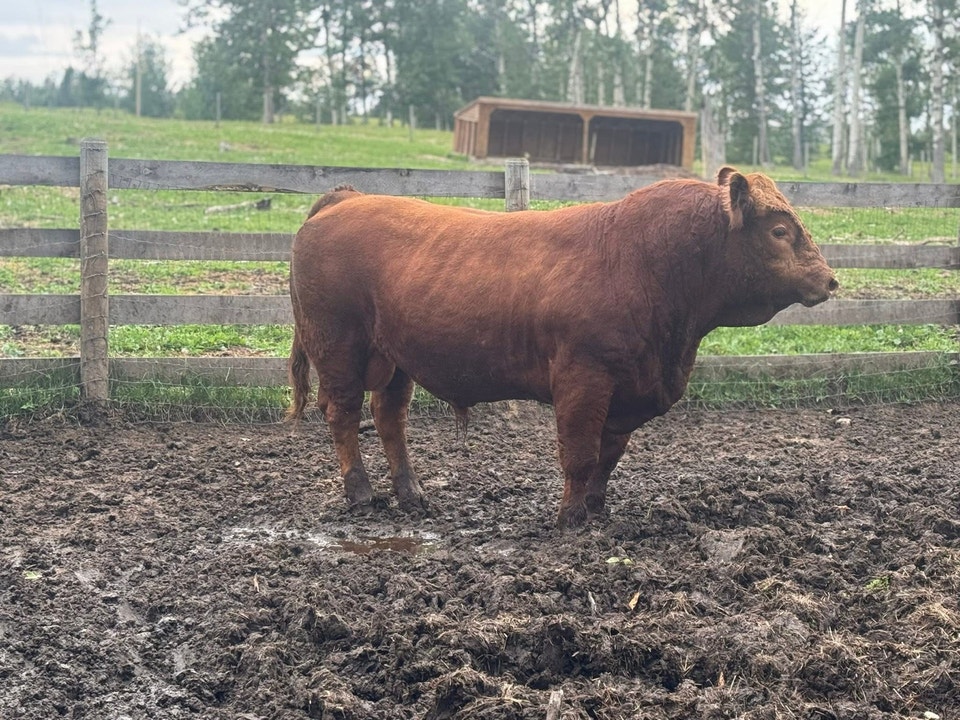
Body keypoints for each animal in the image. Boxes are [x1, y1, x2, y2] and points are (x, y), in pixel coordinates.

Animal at [287, 168, 838, 528]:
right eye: (780, 230)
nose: (831, 280)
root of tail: (348, 198)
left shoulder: (626, 387)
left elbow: (608, 455)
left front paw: (597, 507)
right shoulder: (583, 377)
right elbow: (579, 452)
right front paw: (571, 517)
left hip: (395, 358)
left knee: (389, 418)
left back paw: (412, 495)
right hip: (338, 346)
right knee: (342, 415)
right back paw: (361, 494)